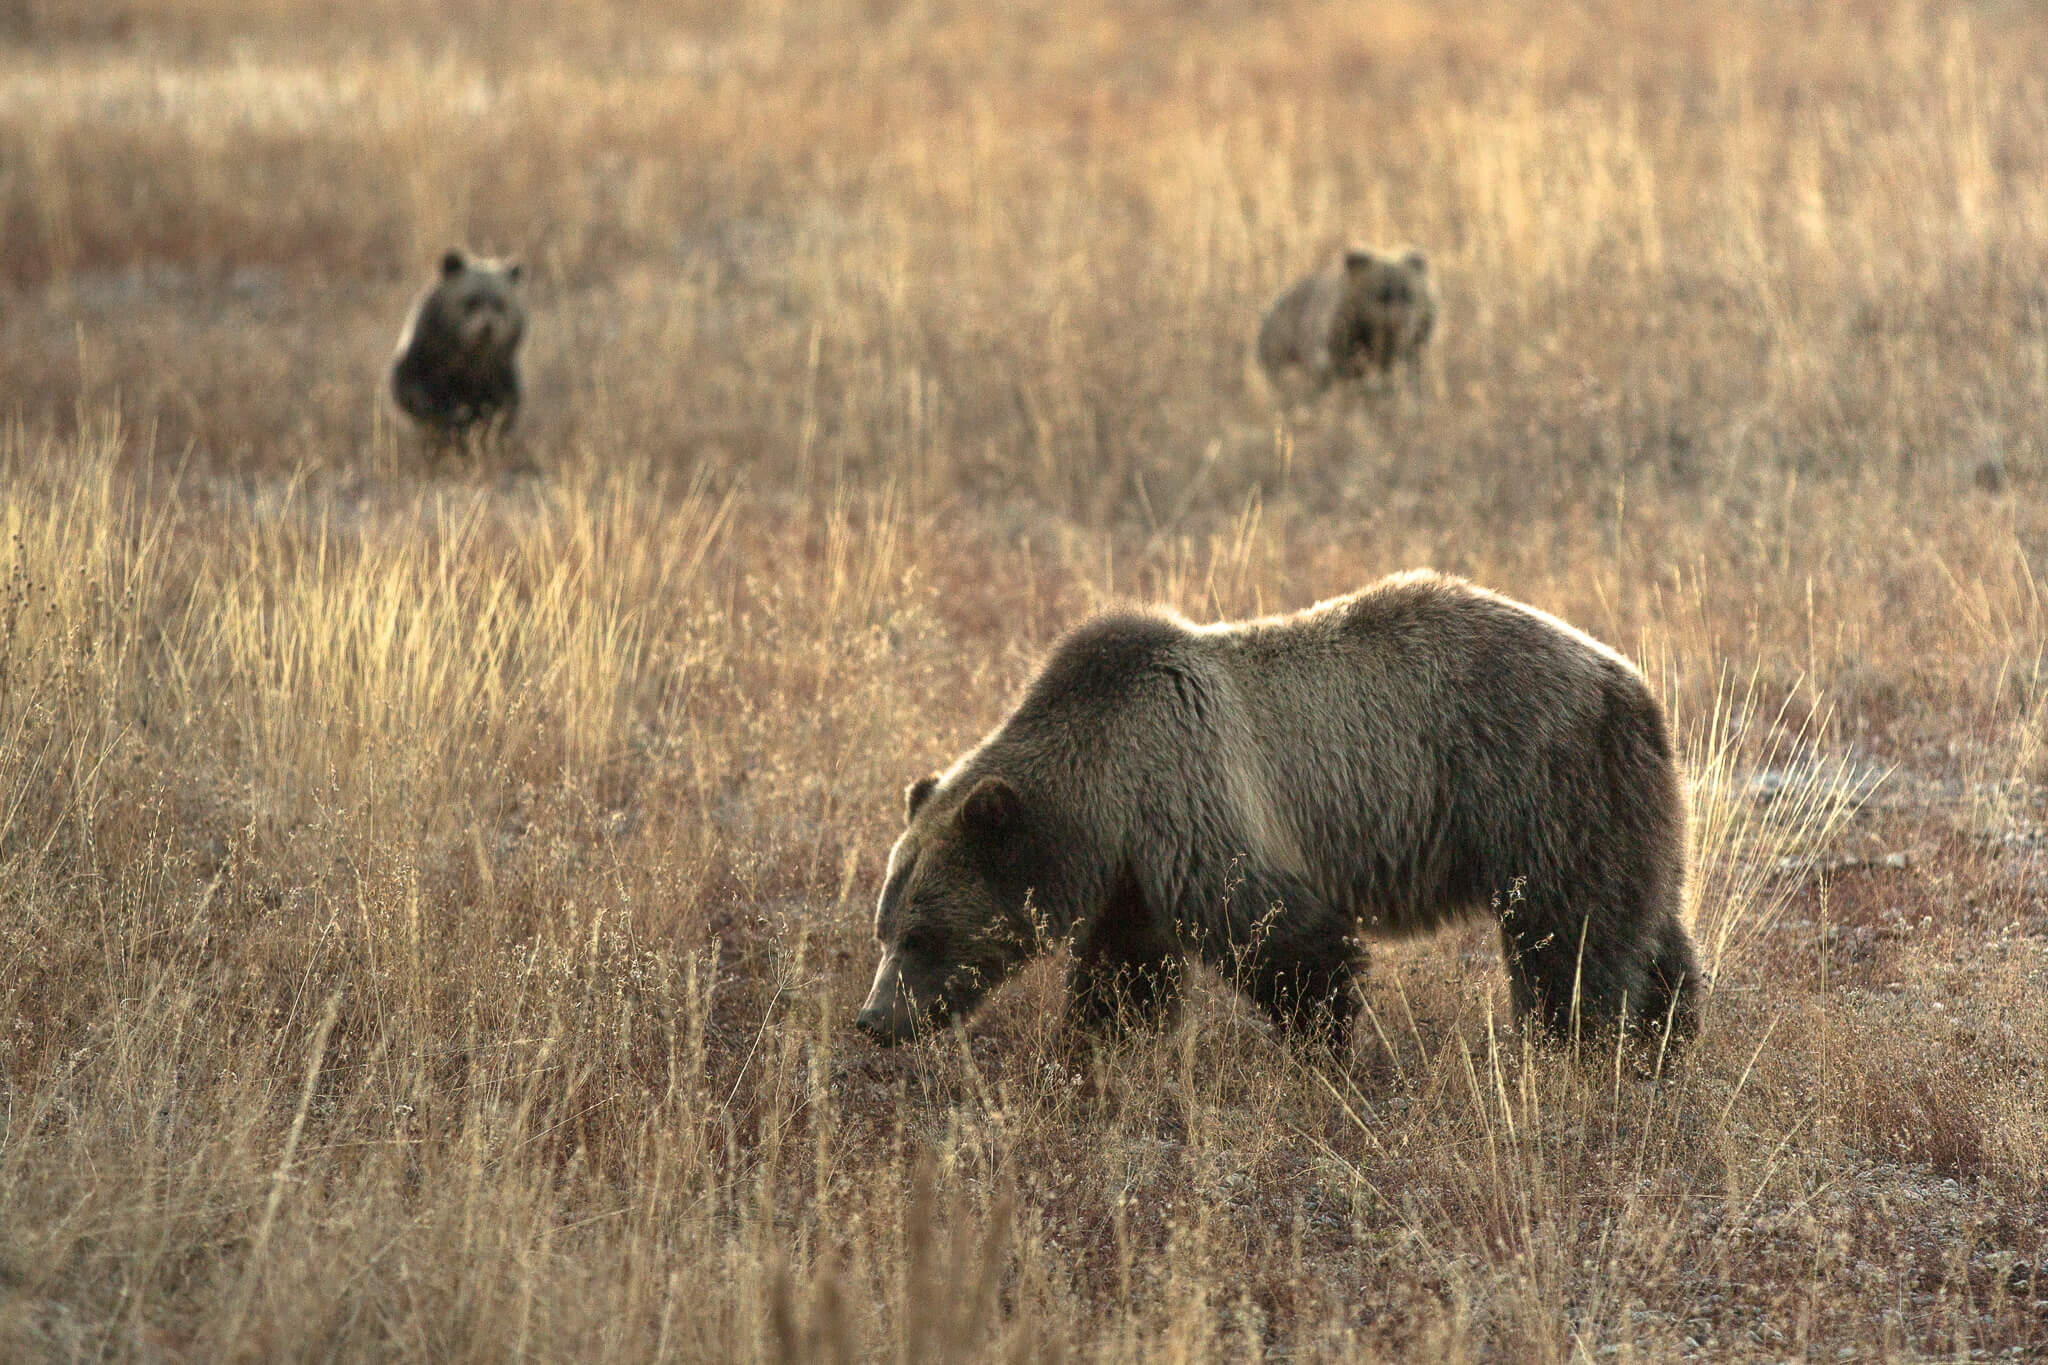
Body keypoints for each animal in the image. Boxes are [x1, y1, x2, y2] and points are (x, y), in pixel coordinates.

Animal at [388, 249, 526, 448]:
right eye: (471, 301)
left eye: (500, 304)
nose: (487, 328)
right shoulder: (424, 355)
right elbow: (411, 391)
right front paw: (445, 415)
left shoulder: (498, 375)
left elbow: (500, 411)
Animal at [855, 570, 1698, 1053]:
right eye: (884, 926)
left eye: (922, 933)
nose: (873, 1019)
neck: (1104, 797)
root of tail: (1629, 681)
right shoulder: (1138, 870)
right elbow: (1124, 969)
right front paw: (1096, 1046)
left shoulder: (1196, 797)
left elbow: (1287, 941)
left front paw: (1325, 1041)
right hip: (1621, 808)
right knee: (1645, 923)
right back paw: (1669, 1034)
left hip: (1539, 786)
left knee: (1569, 935)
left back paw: (1575, 1044)